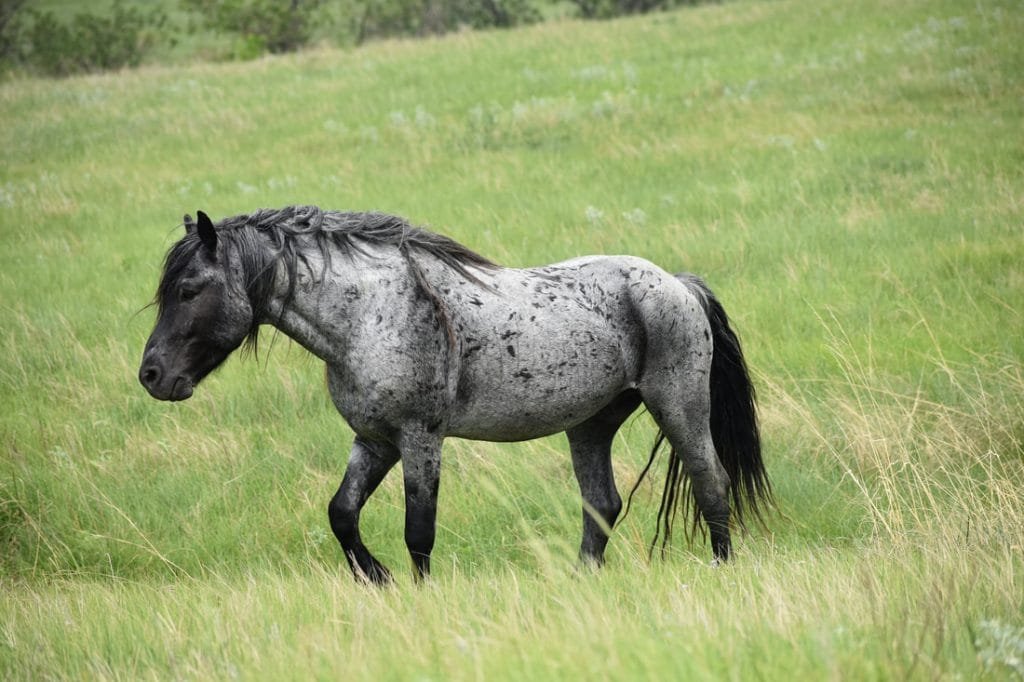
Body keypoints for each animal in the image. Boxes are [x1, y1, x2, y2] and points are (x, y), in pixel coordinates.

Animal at [139, 205, 771, 583]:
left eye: (190, 289)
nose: (151, 375)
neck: (369, 316)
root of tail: (677, 284)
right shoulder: (374, 440)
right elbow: (342, 513)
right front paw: (377, 578)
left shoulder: (420, 439)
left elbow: (419, 528)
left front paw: (417, 594)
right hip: (590, 423)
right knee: (603, 505)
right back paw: (579, 584)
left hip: (678, 403)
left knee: (711, 482)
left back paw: (722, 573)